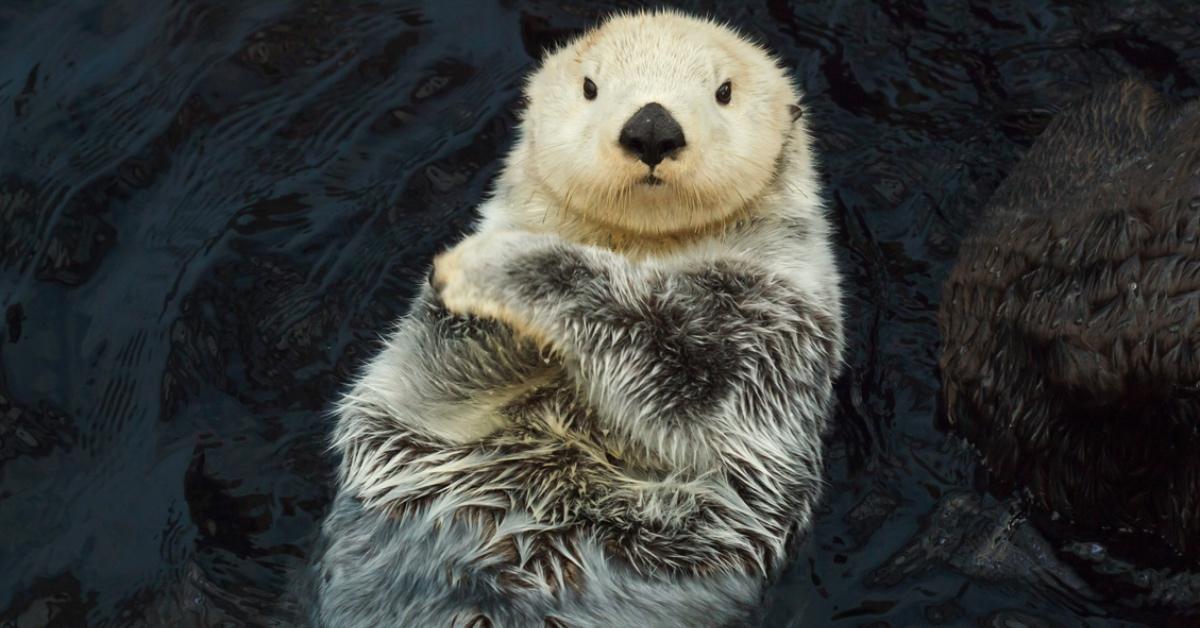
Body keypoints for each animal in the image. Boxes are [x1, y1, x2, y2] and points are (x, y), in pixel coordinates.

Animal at [310, 10, 844, 627]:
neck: (638, 249)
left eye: (724, 91)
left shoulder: (770, 329)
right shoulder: (420, 394)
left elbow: (680, 374)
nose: (652, 128)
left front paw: (492, 266)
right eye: (590, 86)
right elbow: (431, 377)